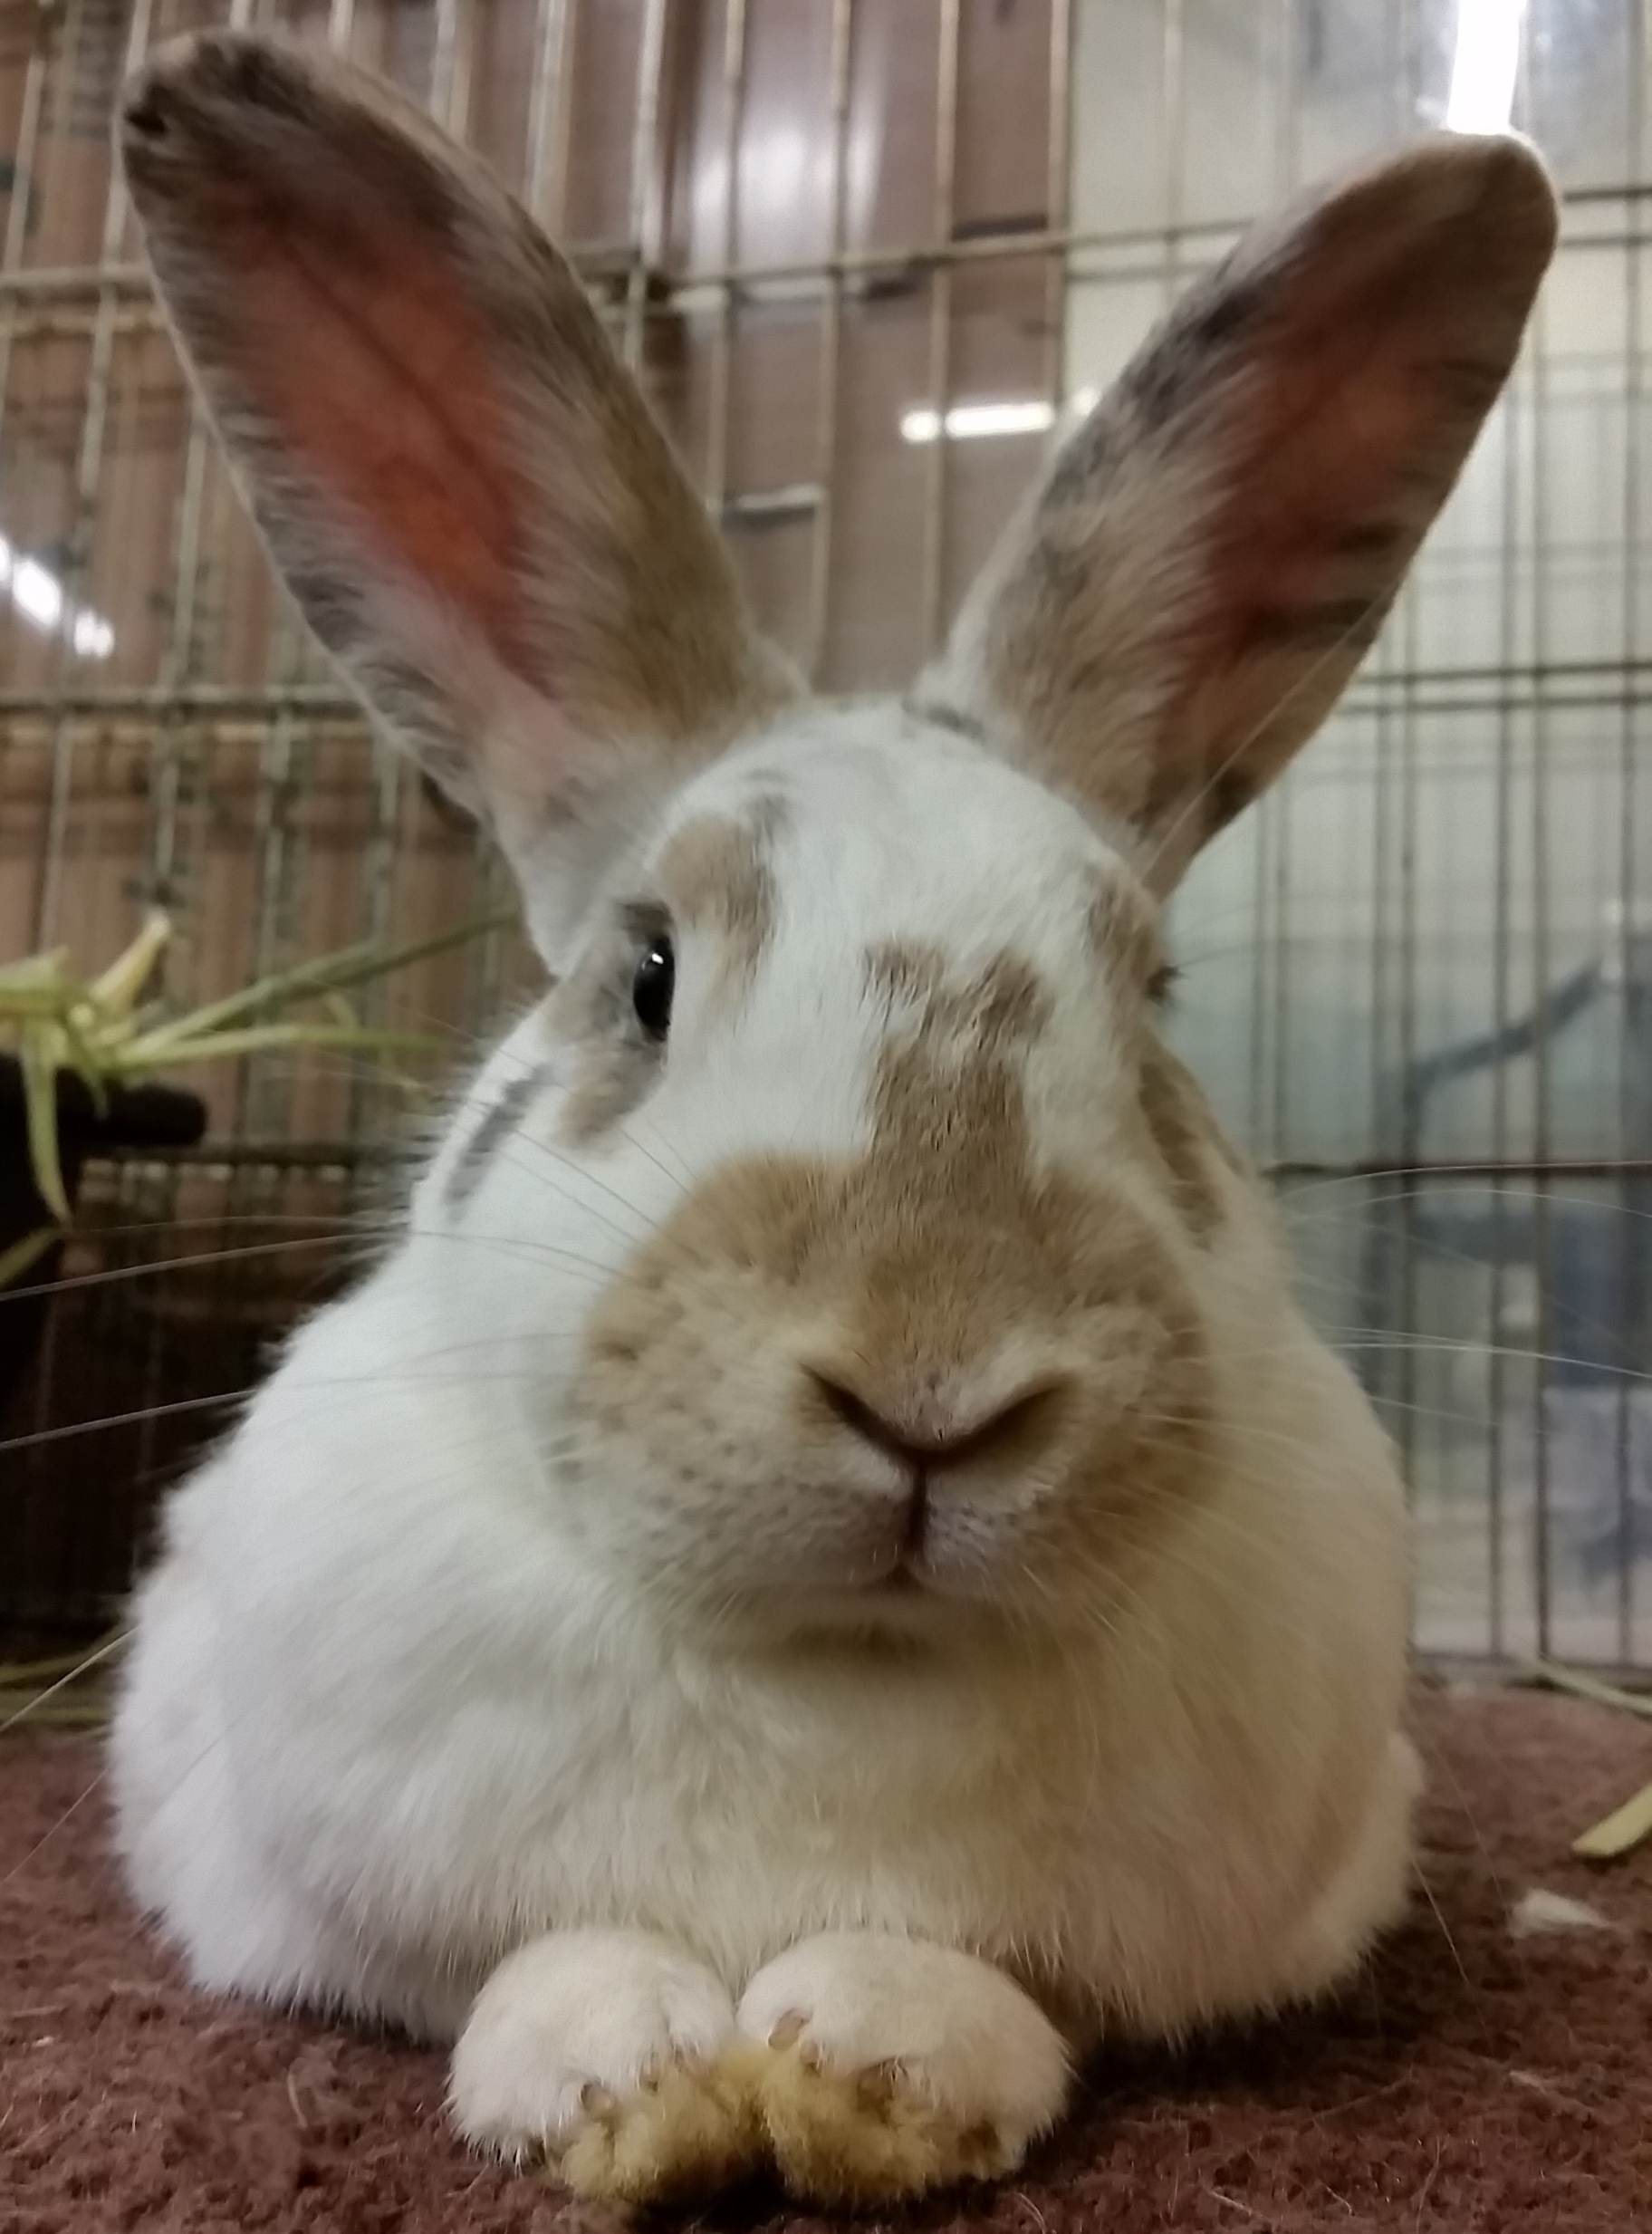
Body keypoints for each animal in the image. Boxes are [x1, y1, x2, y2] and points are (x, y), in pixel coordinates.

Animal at [108, 29, 1556, 2210]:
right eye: (645, 974)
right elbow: (527, 1960)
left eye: (1151, 999)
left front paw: (869, 2069)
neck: (836, 1683)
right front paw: (618, 2082)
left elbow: (998, 1992)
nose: (932, 1388)